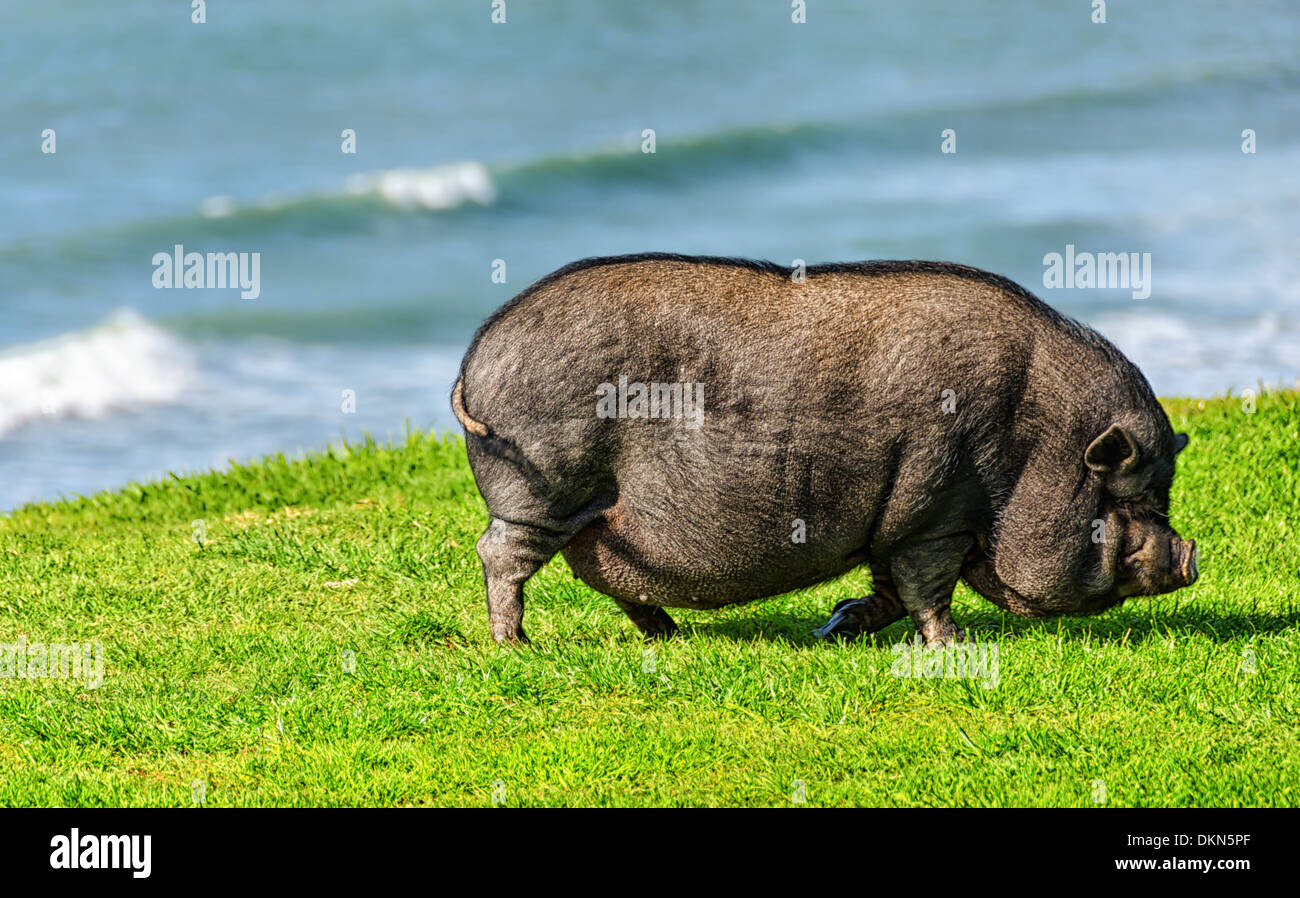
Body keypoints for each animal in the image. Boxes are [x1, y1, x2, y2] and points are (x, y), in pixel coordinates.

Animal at [451, 254, 1197, 645]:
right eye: (1129, 497)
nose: (1191, 558)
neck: (1031, 445)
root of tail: (472, 360)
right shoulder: (934, 514)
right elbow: (927, 587)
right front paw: (953, 645)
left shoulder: (891, 520)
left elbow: (889, 590)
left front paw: (833, 629)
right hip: (542, 487)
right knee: (501, 555)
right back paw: (513, 645)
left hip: (593, 516)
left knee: (603, 572)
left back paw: (667, 633)